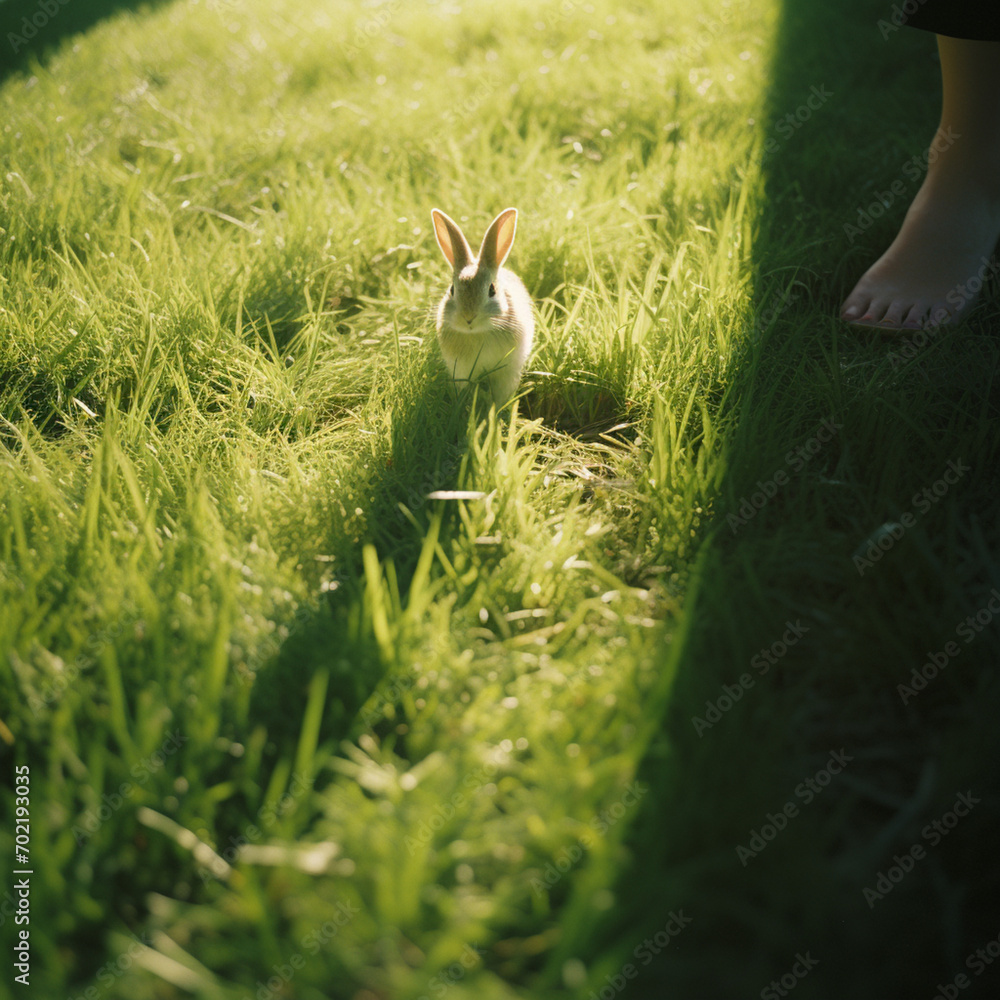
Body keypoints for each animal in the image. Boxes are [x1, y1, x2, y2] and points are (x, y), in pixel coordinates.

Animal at [430, 207, 534, 408]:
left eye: (491, 290)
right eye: (452, 290)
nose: (468, 318)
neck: (477, 333)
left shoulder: (507, 372)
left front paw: (496, 409)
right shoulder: (461, 371)